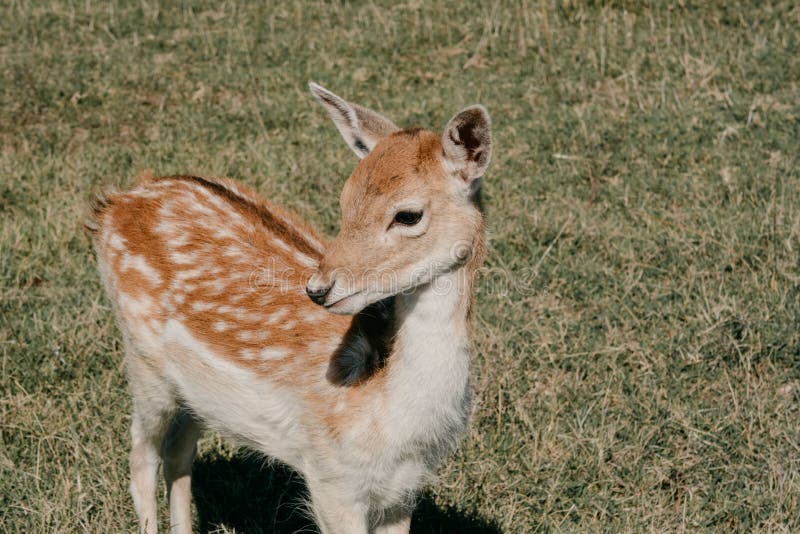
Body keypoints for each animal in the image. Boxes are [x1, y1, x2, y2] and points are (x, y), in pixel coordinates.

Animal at [88, 82, 492, 534]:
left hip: (194, 394)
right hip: (142, 362)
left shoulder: (402, 489)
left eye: (408, 215)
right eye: (344, 200)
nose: (318, 288)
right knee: (141, 457)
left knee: (179, 452)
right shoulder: (331, 477)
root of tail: (112, 202)